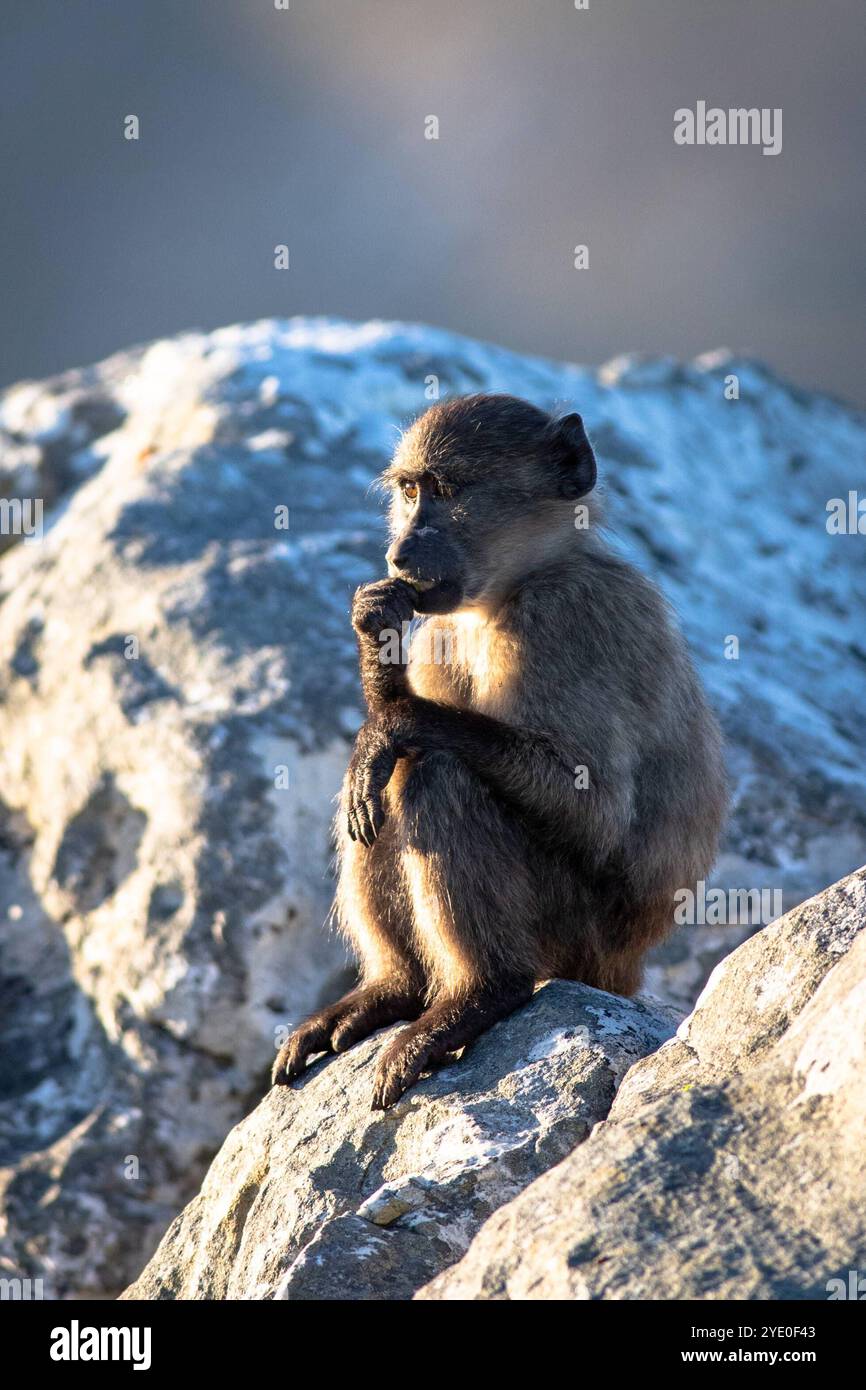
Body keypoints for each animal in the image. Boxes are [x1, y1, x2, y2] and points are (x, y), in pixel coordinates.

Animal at [272, 393, 727, 1110]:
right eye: (409, 491)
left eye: (449, 490)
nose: (400, 553)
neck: (512, 587)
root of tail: (624, 970)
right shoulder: (439, 630)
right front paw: (376, 629)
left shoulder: (568, 616)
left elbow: (594, 807)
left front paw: (391, 724)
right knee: (373, 798)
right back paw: (392, 989)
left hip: (574, 935)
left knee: (431, 774)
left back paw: (481, 994)